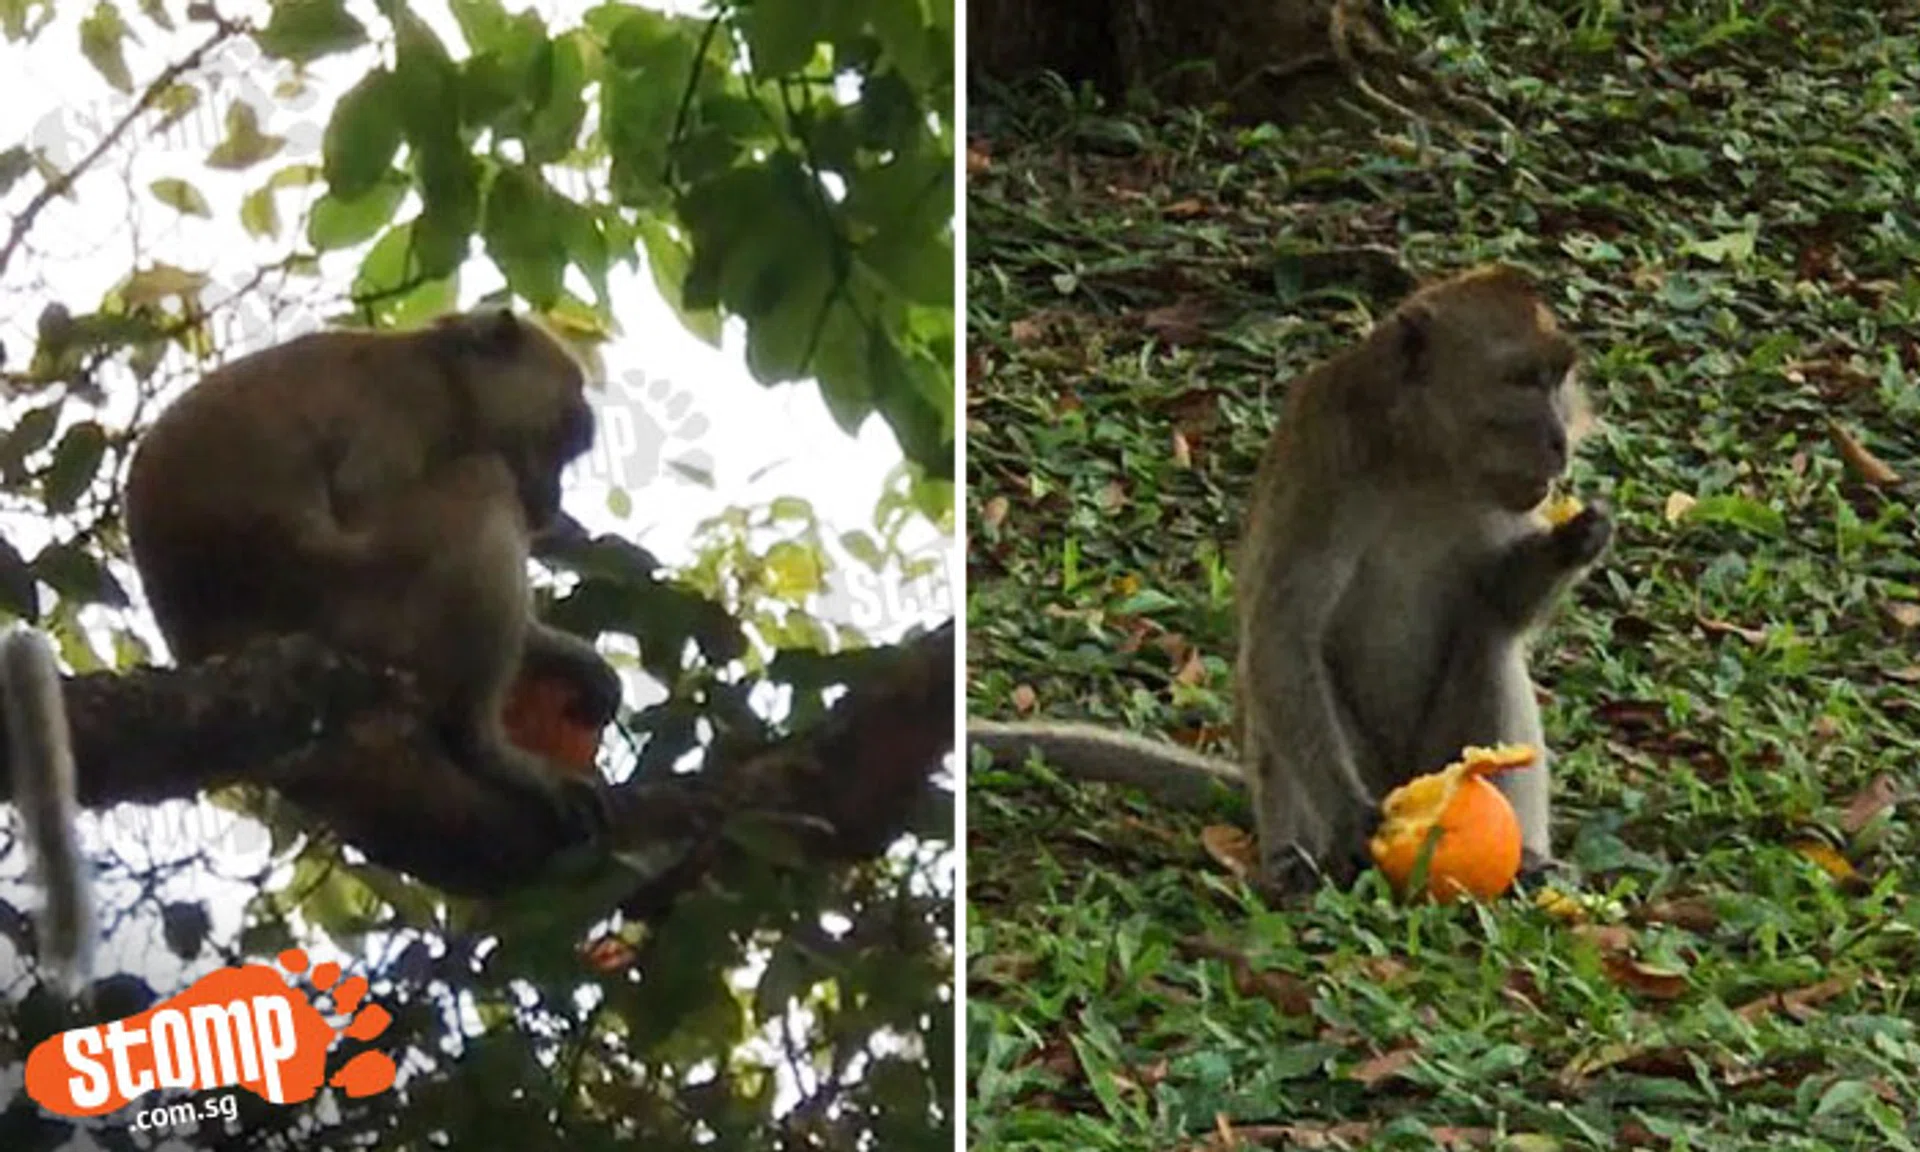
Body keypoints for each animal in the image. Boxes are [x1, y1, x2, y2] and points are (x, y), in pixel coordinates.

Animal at [122, 308, 622, 831]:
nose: (553, 500)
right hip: (358, 614)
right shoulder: (408, 403)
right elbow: (363, 501)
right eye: (561, 439)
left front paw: (566, 653)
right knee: (485, 479)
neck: (444, 372)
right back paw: (480, 745)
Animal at [972, 265, 1610, 893]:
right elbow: (1284, 632)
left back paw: (1525, 862)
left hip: (1431, 760)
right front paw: (1351, 820)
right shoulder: (1325, 460)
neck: (1425, 458)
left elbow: (1496, 602)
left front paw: (1577, 539)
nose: (1560, 439)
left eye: (1558, 378)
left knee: (1486, 644)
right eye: (1522, 379)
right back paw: (1294, 865)